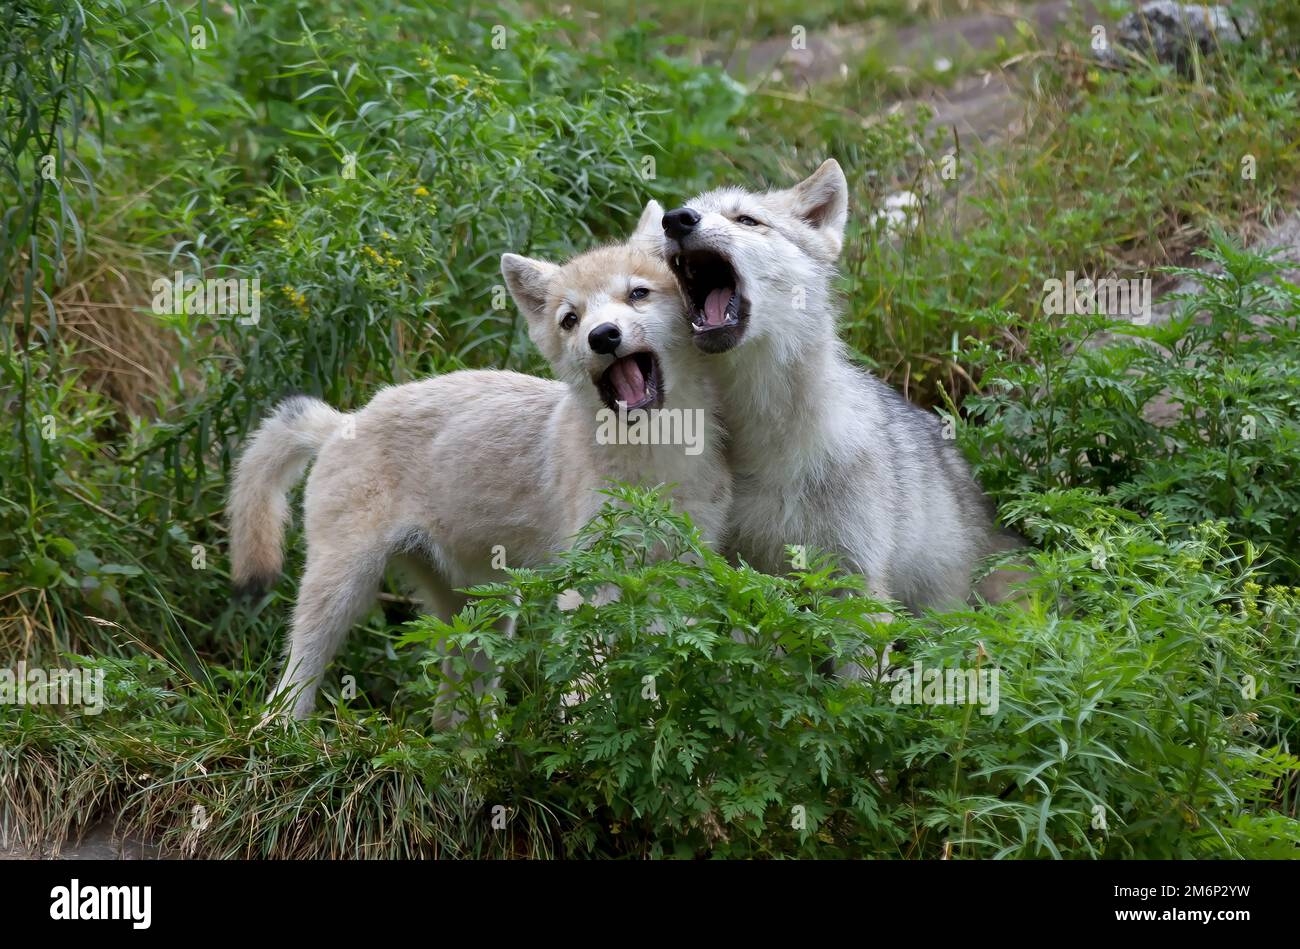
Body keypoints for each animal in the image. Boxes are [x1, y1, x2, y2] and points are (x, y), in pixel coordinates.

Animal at [228, 213, 731, 719]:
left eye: (637, 294)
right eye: (570, 320)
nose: (603, 335)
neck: (655, 459)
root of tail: (341, 421)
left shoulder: (682, 574)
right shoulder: (591, 579)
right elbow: (586, 689)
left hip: (482, 614)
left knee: (451, 715)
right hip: (343, 589)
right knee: (293, 679)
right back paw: (283, 731)